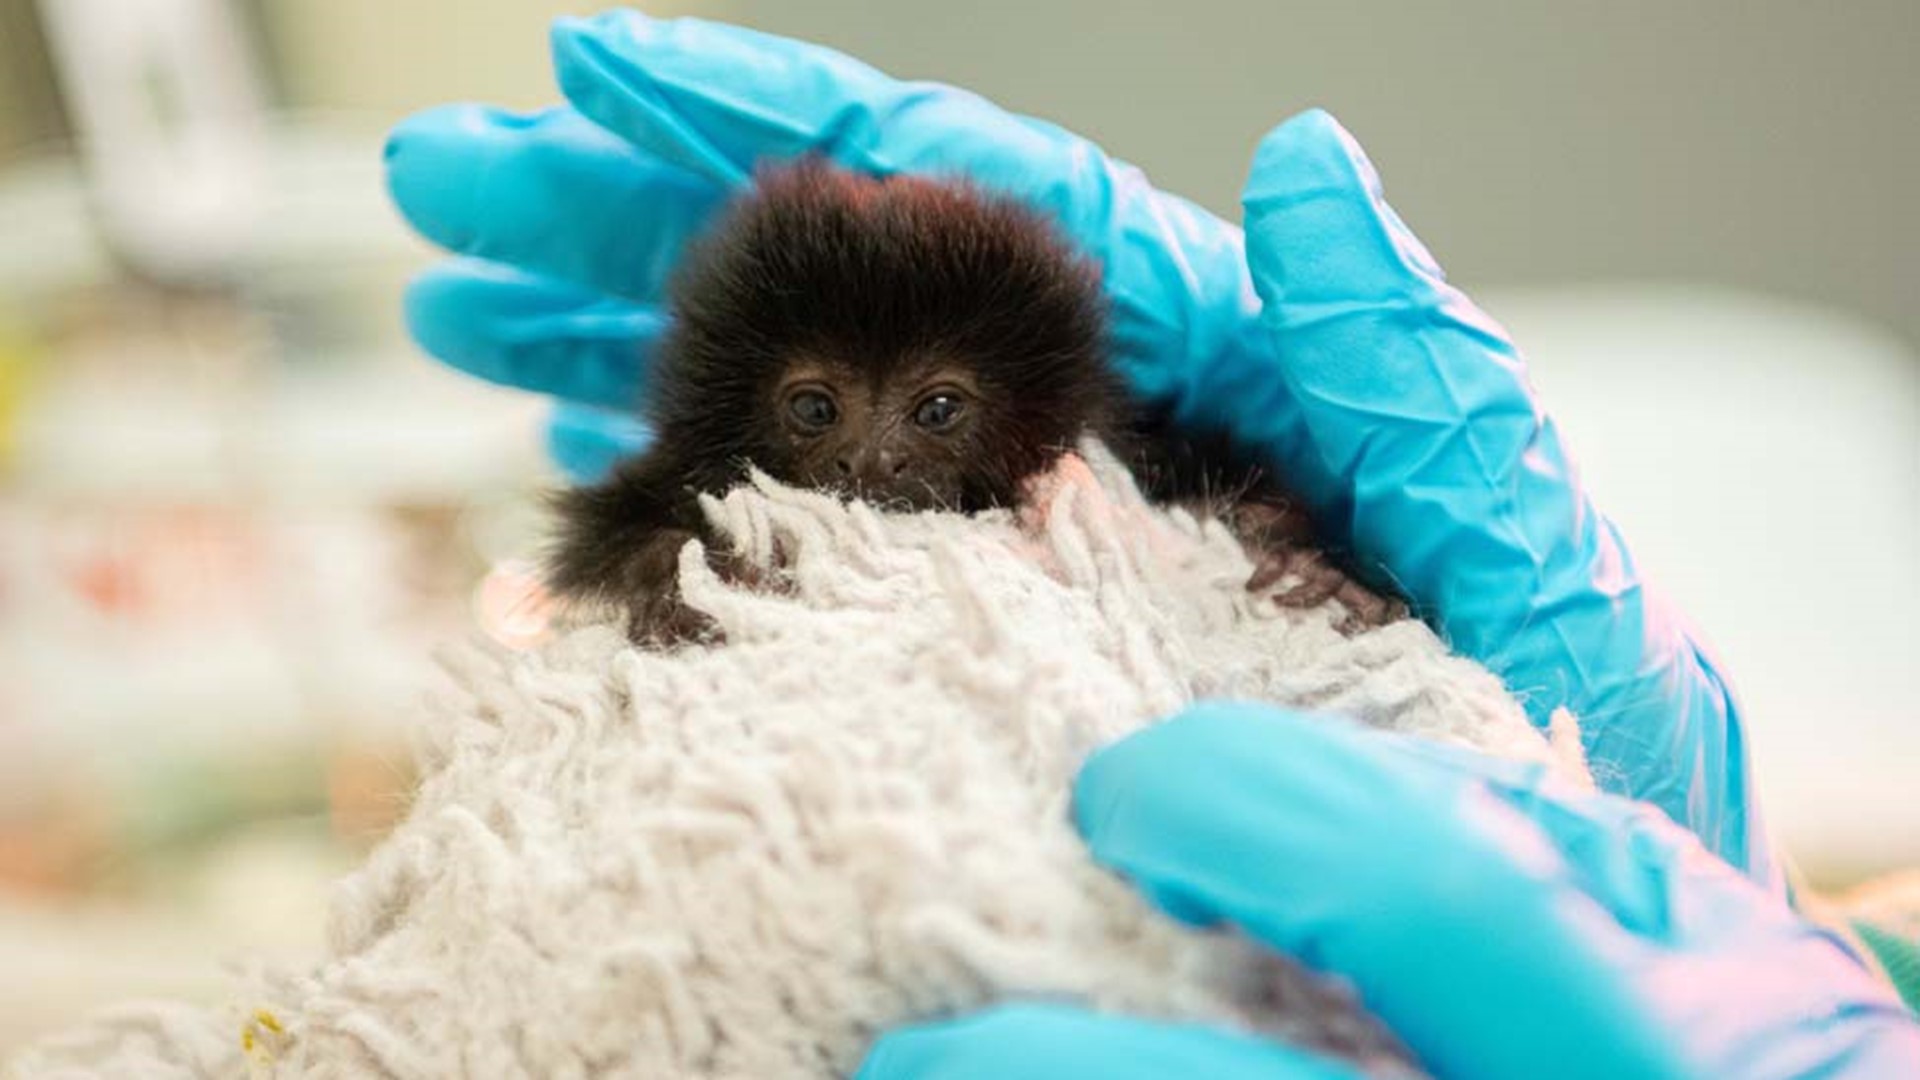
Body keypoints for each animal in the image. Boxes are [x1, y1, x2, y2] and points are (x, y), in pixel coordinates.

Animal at [546, 160, 1404, 645]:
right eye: (816, 409)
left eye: (937, 410)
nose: (872, 459)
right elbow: (618, 526)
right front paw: (675, 579)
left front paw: (1304, 562)